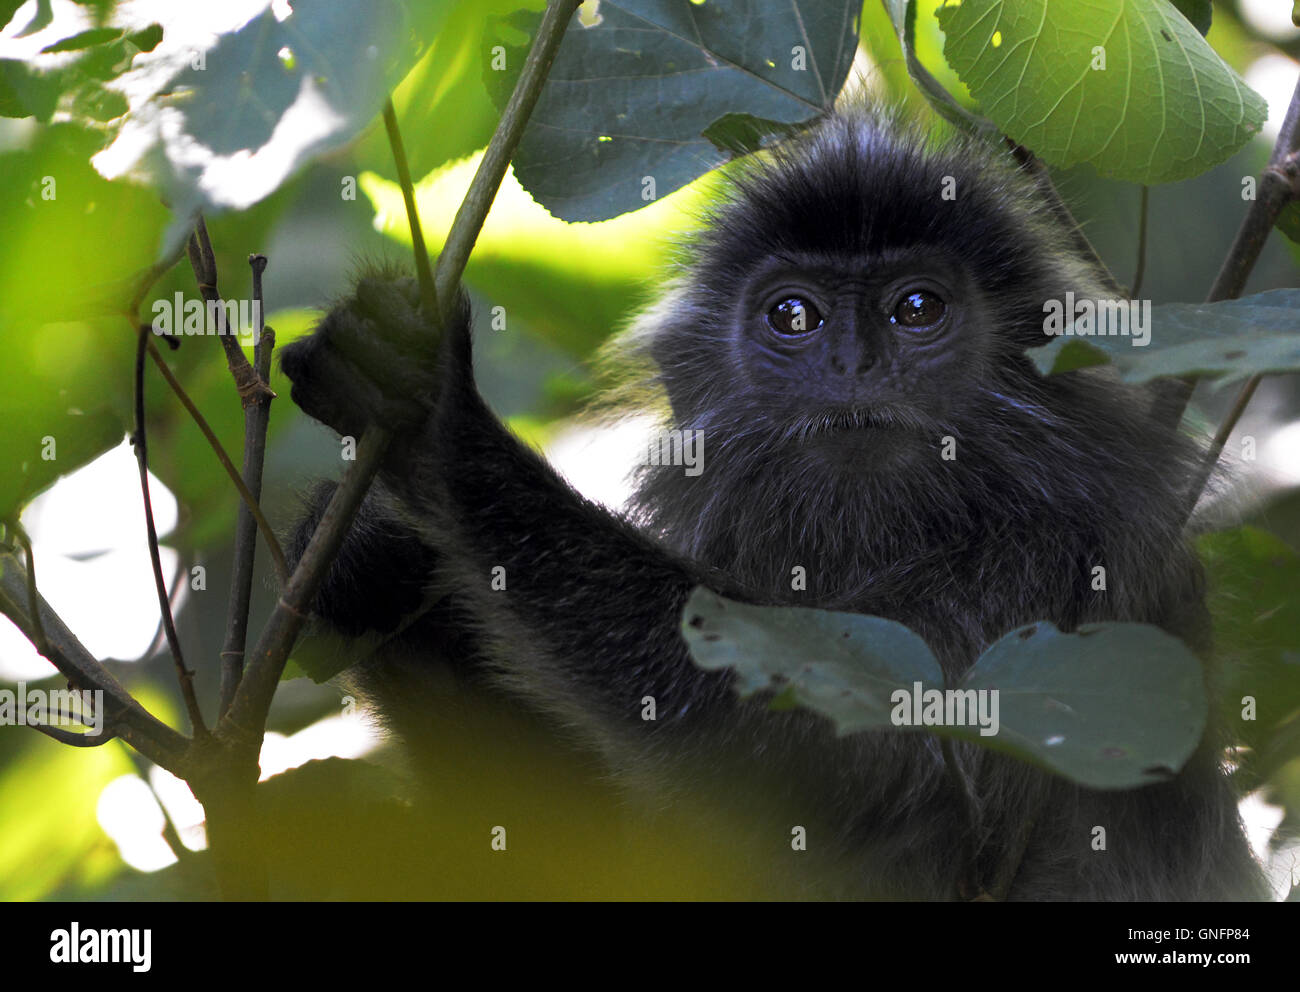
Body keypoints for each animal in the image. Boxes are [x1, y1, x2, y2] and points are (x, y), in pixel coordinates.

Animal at [279, 107, 1269, 901]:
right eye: (794, 316)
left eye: (916, 307)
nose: (852, 363)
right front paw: (369, 562)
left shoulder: (1053, 562)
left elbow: (831, 755)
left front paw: (440, 421)